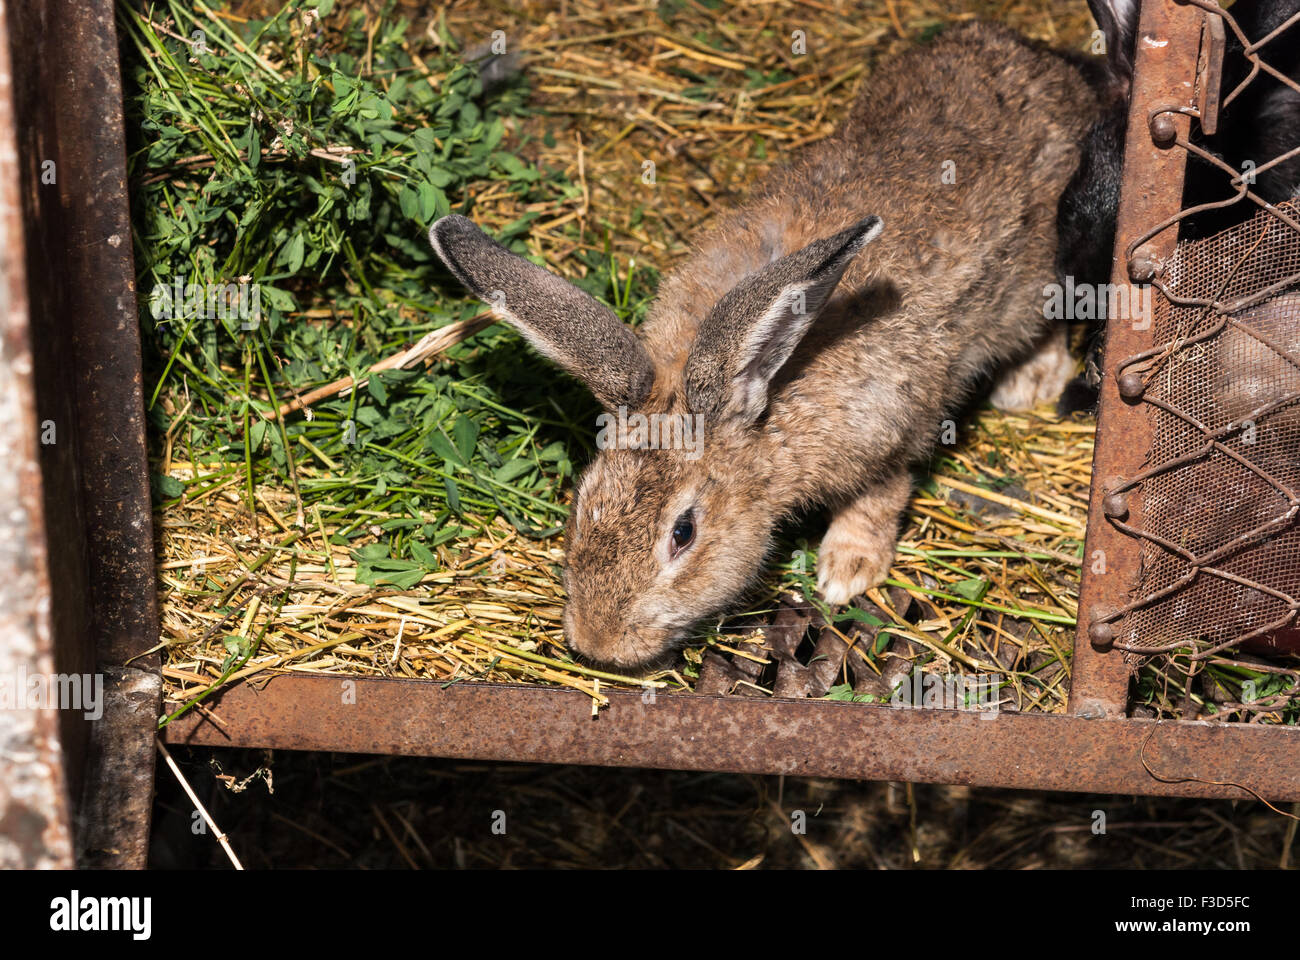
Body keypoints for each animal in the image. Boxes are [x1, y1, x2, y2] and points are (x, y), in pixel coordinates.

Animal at [428, 21, 1103, 671]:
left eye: (683, 533)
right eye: (583, 500)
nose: (598, 644)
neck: (762, 406)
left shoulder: (896, 425)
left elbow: (881, 497)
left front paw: (845, 572)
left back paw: (1031, 382)